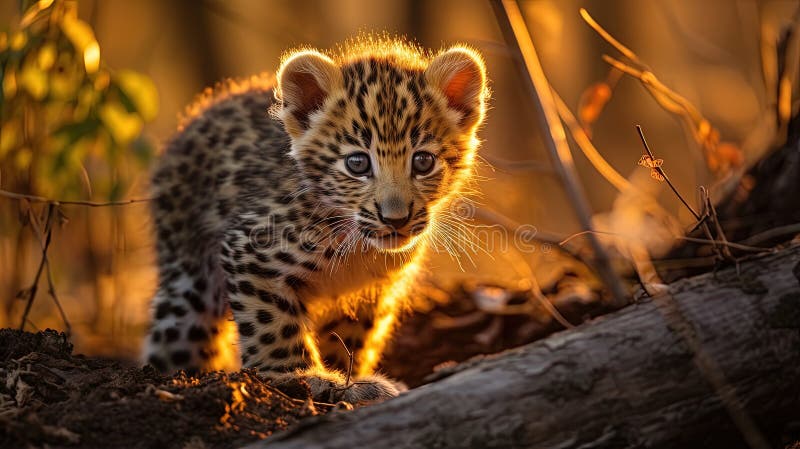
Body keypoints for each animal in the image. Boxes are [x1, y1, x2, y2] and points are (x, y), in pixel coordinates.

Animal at [143, 35, 488, 404]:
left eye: (423, 161)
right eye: (357, 164)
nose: (395, 219)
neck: (358, 246)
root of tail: (195, 116)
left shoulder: (372, 291)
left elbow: (351, 339)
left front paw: (351, 381)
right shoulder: (250, 252)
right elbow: (272, 323)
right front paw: (298, 375)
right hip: (190, 283)